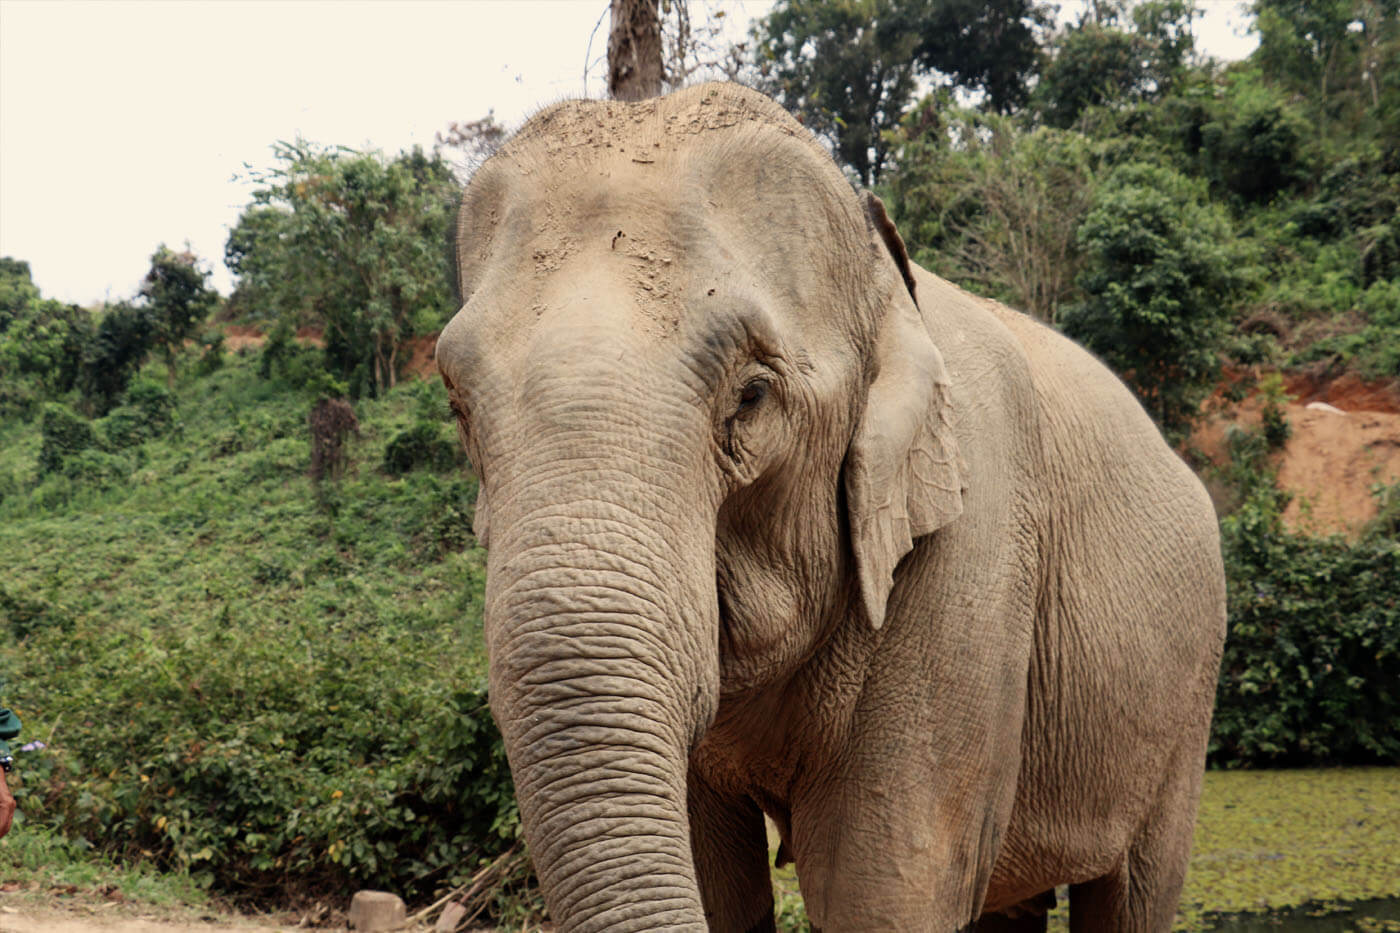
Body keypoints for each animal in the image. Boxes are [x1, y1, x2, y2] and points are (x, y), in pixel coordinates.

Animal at [434, 83, 1226, 933]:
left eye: (751, 396)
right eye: (458, 406)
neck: (885, 275)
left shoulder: (976, 556)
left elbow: (885, 888)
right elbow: (713, 871)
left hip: (1188, 695)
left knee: (1136, 886)